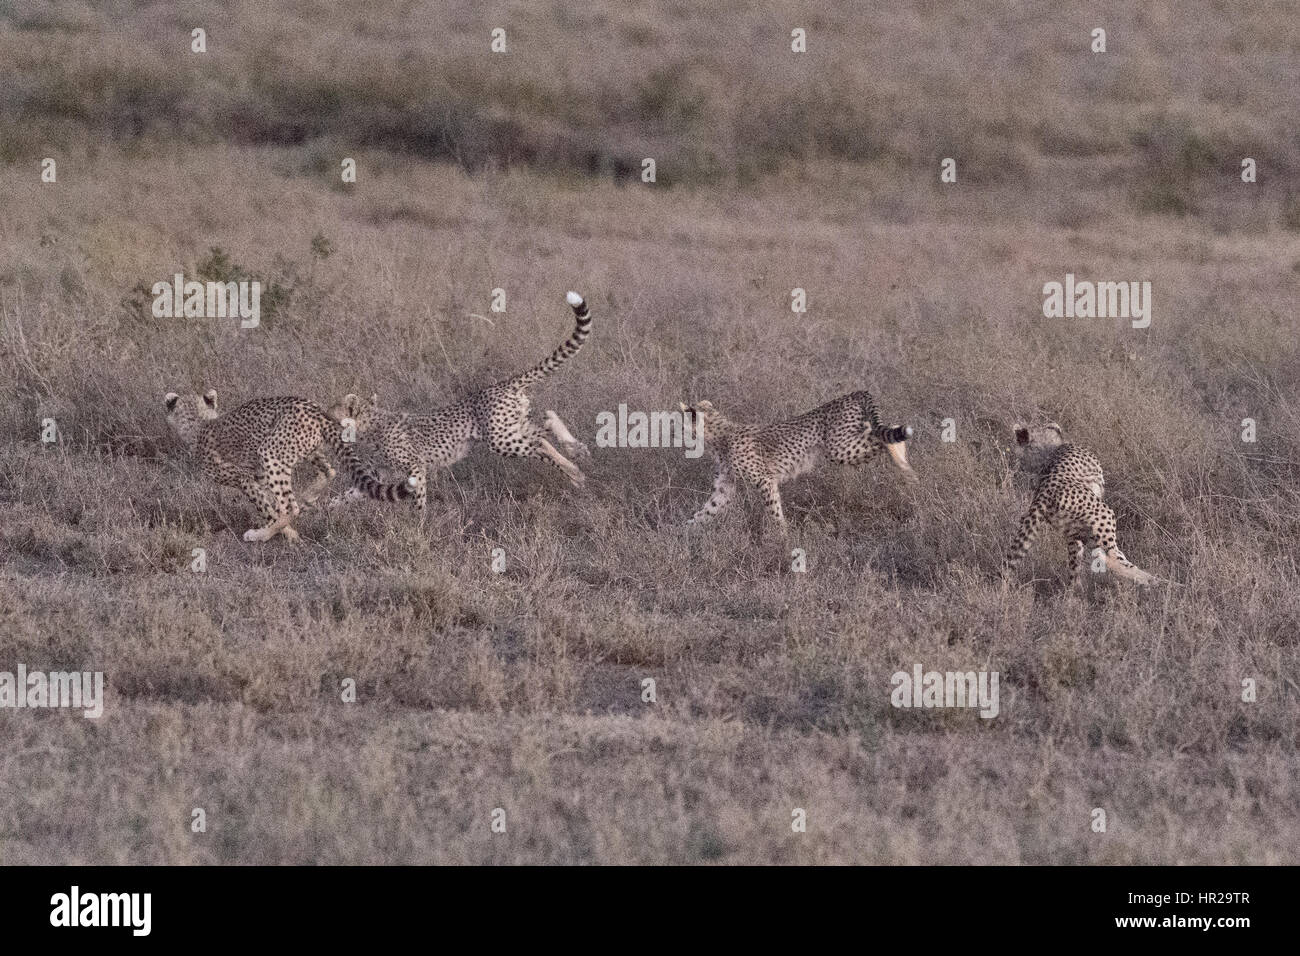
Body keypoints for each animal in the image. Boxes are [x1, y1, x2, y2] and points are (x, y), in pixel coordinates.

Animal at [164, 390, 413, 543]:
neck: (199, 422)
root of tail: (315, 409)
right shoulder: (259, 476)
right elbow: (271, 504)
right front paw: (289, 531)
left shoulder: (244, 478)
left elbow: (267, 507)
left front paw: (288, 535)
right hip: (304, 449)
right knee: (328, 470)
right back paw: (308, 497)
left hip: (271, 452)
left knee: (292, 506)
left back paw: (261, 534)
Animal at [328, 291, 593, 516]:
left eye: (330, 414)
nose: (322, 420)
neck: (371, 425)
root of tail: (501, 384)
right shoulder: (379, 474)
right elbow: (348, 494)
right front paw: (328, 509)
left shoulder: (415, 467)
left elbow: (418, 499)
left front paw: (418, 525)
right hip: (512, 429)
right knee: (544, 433)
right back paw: (575, 463)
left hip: (501, 439)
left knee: (540, 439)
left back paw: (573, 465)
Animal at [679, 390, 916, 537]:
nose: (677, 431)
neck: (717, 436)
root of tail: (853, 393)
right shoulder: (725, 486)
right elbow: (705, 512)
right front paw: (682, 532)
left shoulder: (765, 480)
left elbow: (774, 512)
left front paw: (782, 539)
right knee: (883, 433)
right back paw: (907, 470)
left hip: (840, 448)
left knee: (884, 438)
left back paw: (903, 464)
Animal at [1000, 421, 1158, 586]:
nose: (1018, 466)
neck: (1049, 450)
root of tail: (1044, 494)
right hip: (1103, 516)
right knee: (1110, 557)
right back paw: (1151, 580)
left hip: (1074, 531)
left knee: (1076, 562)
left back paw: (1075, 588)